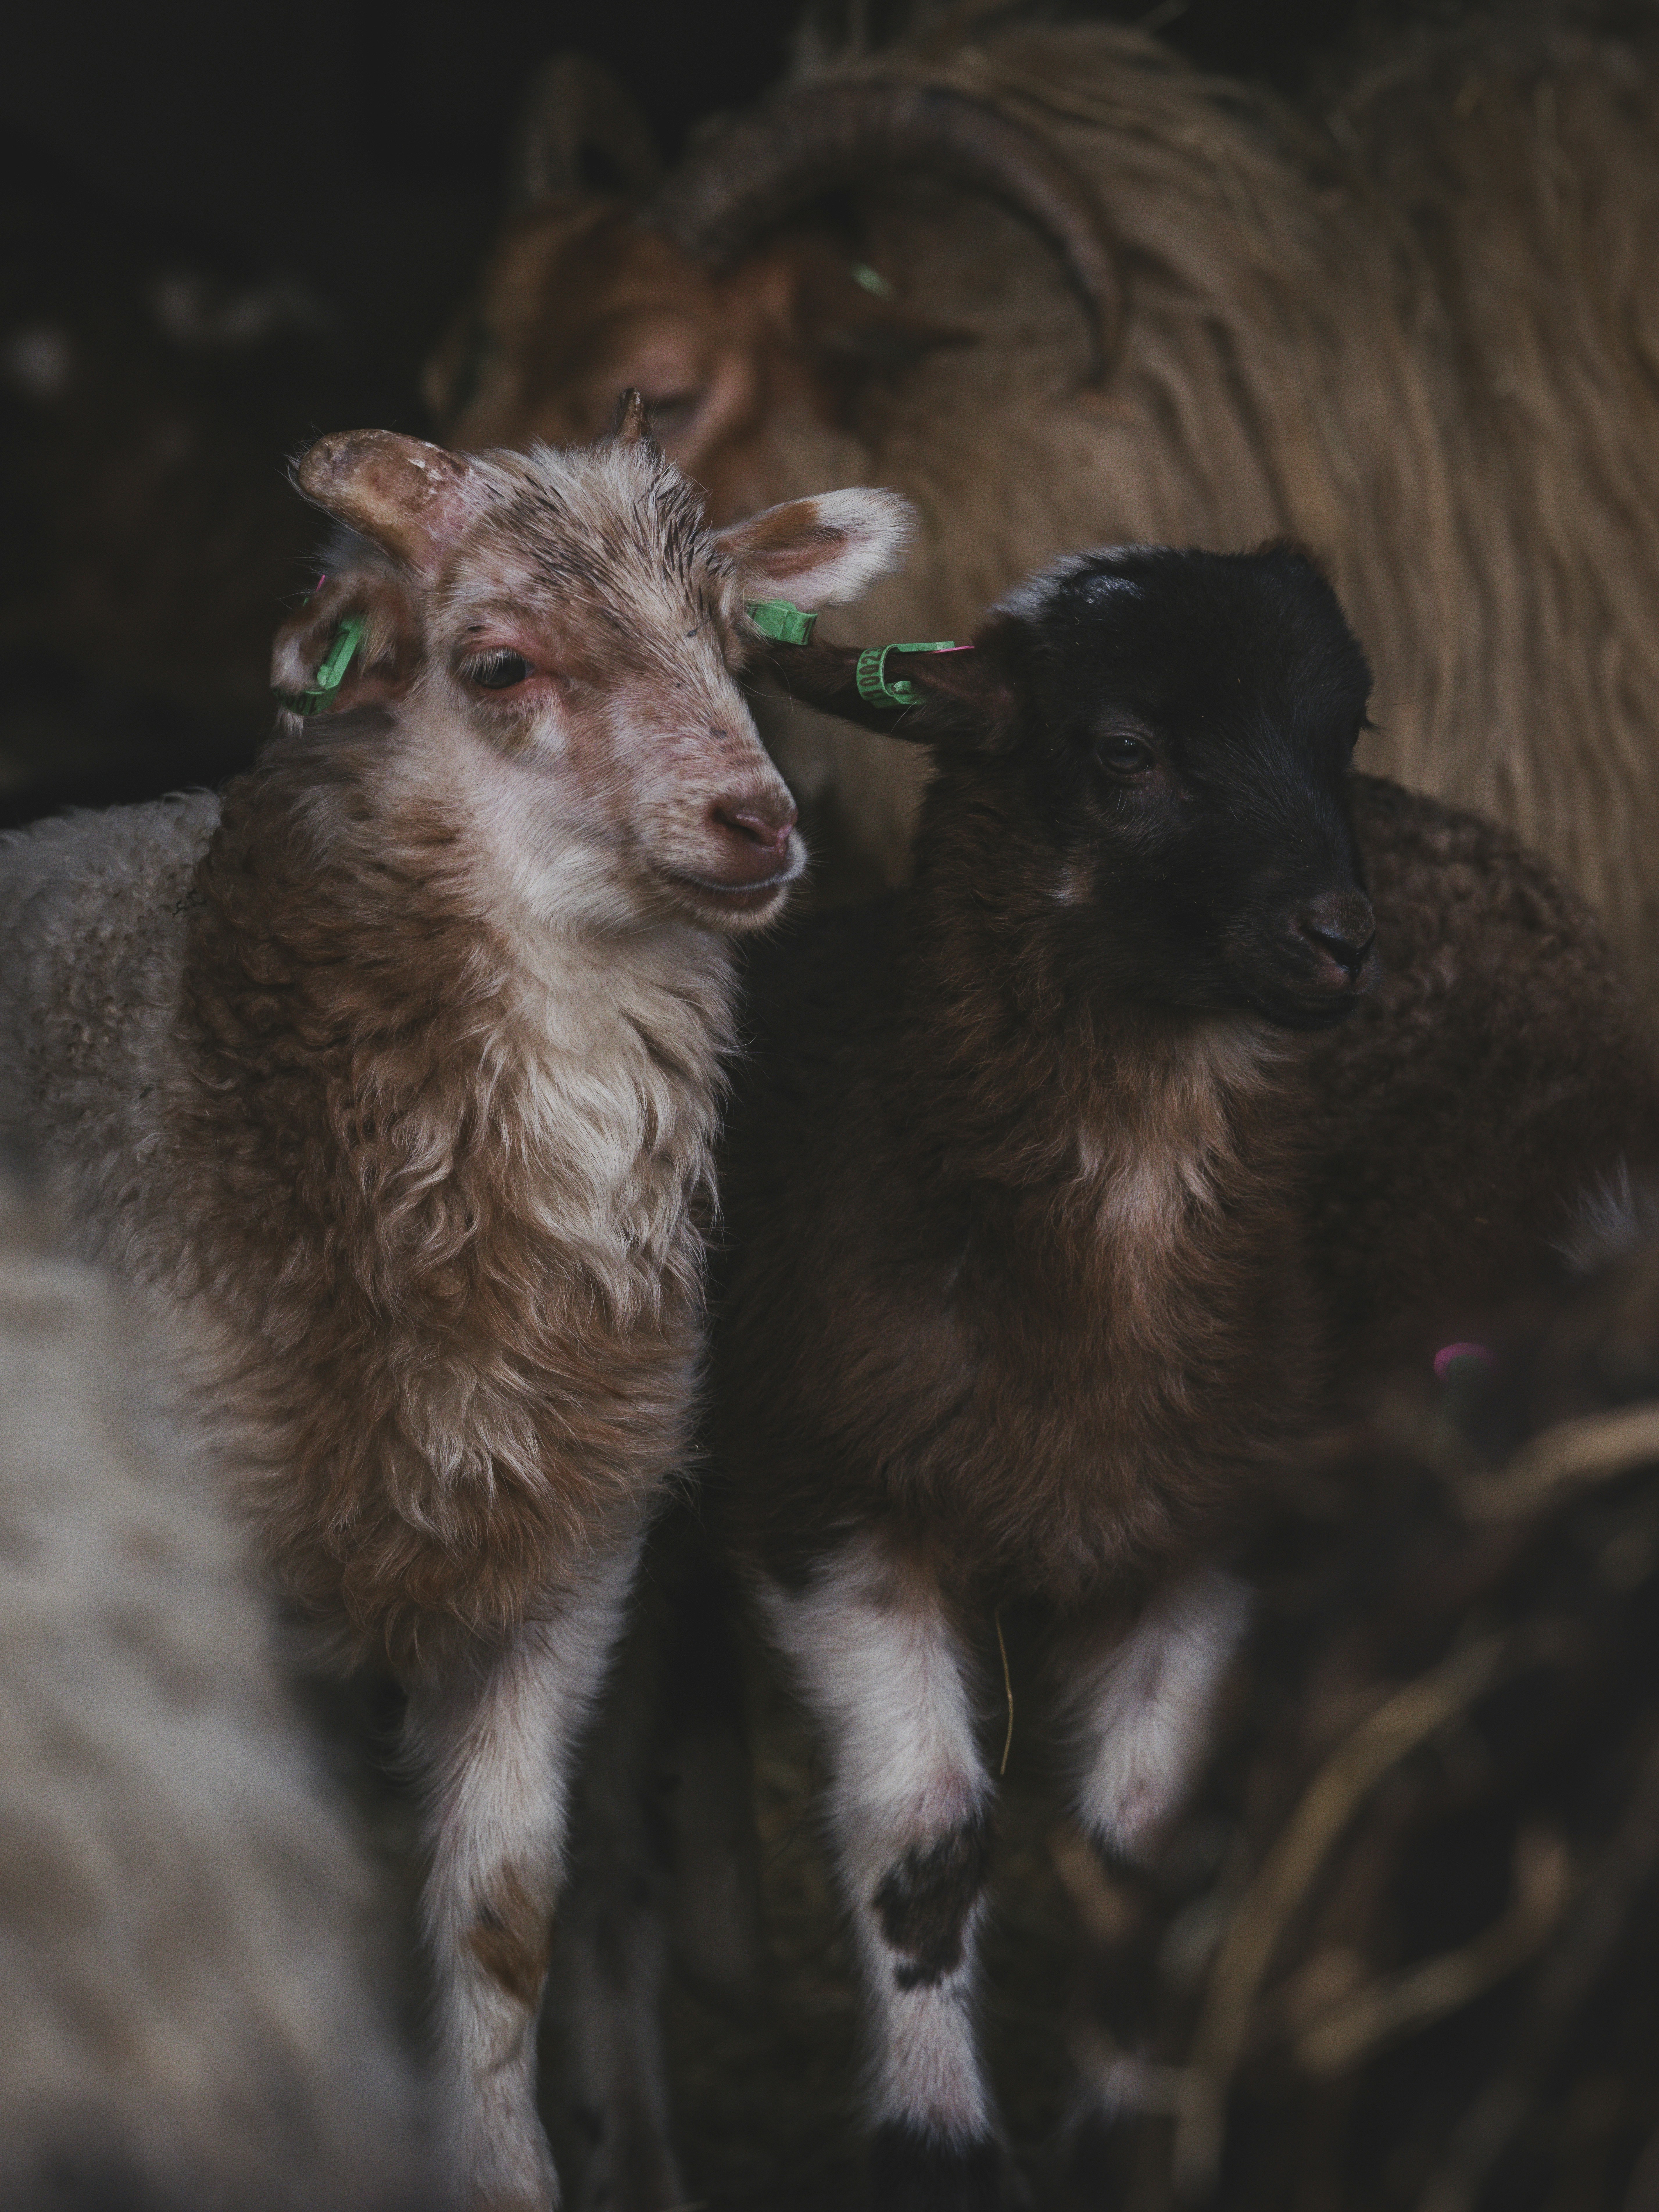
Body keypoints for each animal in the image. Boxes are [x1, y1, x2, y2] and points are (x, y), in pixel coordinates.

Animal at [698, 541, 1659, 2207]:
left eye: (1340, 725)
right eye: (1124, 749)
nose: (1340, 936)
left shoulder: (1203, 1531)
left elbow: (1144, 1850)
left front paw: (1125, 2135)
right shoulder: (828, 1507)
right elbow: (924, 1842)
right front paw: (935, 2143)